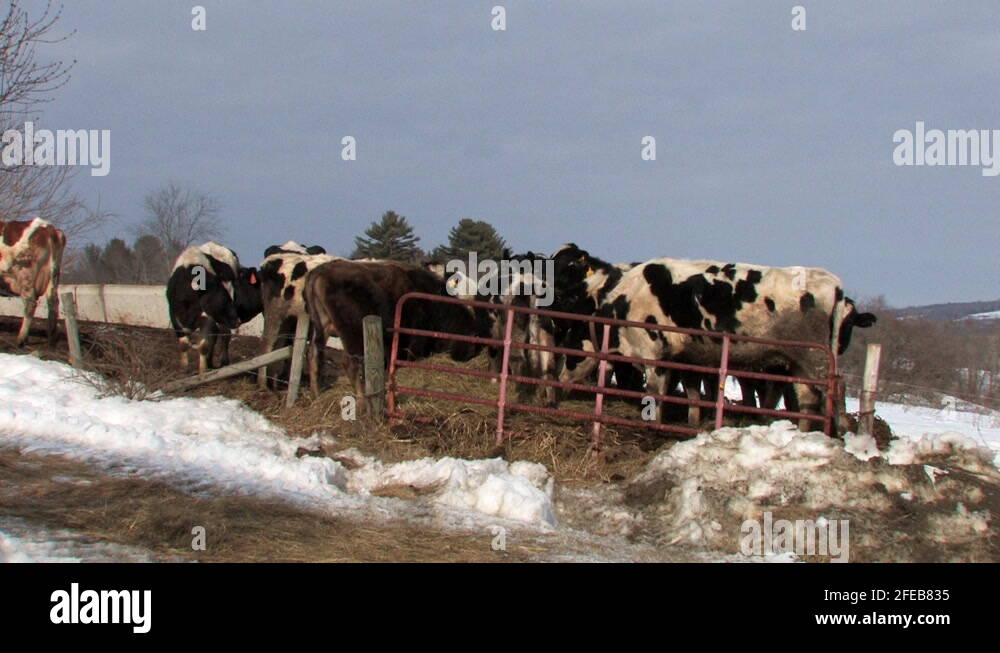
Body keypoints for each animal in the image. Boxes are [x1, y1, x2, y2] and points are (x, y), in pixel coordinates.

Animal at [0, 218, 66, 346]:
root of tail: (48, 228)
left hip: (25, 277)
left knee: (30, 304)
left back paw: (20, 340)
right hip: (53, 278)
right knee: (53, 302)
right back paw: (51, 338)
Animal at [166, 242, 262, 374]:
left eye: (231, 298)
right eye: (224, 300)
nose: (237, 320)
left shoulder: (207, 318)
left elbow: (204, 345)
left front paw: (202, 371)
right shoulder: (174, 316)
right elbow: (183, 344)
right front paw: (184, 369)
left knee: (224, 336)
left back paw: (222, 362)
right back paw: (210, 362)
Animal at [303, 259, 485, 413]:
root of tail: (320, 271)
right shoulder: (412, 343)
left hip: (322, 329)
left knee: (313, 356)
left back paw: (315, 395)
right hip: (351, 335)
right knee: (350, 363)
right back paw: (361, 402)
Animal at [552, 244, 876, 432]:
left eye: (570, 348)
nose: (559, 386)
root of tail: (833, 284)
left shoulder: (653, 353)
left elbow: (655, 393)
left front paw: (653, 428)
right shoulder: (687, 357)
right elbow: (692, 394)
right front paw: (693, 424)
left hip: (816, 358)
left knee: (836, 390)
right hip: (797, 363)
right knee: (807, 398)